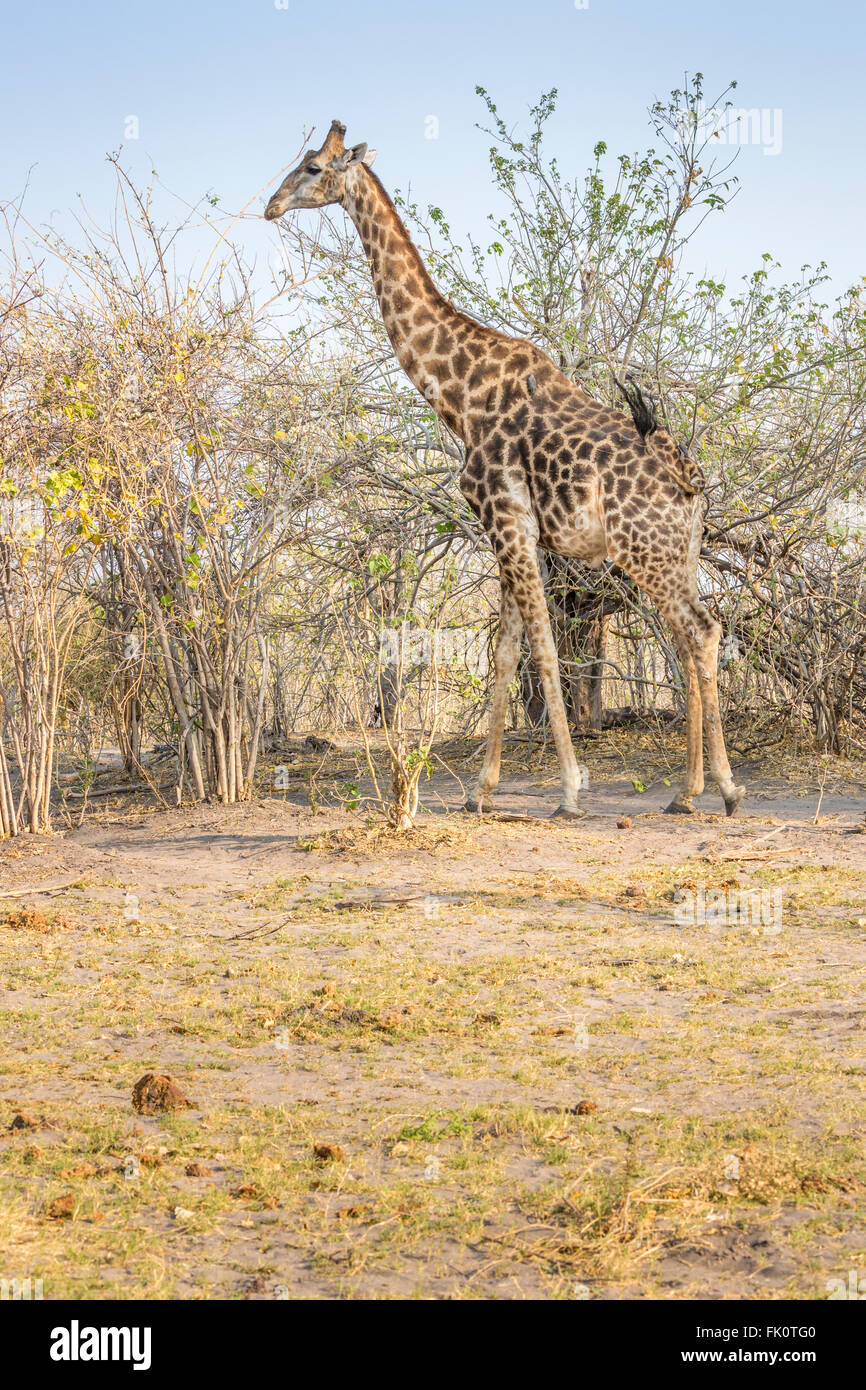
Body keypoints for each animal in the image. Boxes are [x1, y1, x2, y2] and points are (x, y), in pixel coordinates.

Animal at [264, 121, 745, 820]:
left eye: (311, 166)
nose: (271, 205)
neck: (459, 394)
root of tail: (690, 479)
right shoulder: (511, 530)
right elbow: (505, 653)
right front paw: (482, 791)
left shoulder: (507, 519)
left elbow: (542, 651)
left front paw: (568, 791)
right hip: (677, 549)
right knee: (696, 637)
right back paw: (694, 792)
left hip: (643, 550)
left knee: (699, 632)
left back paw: (717, 789)